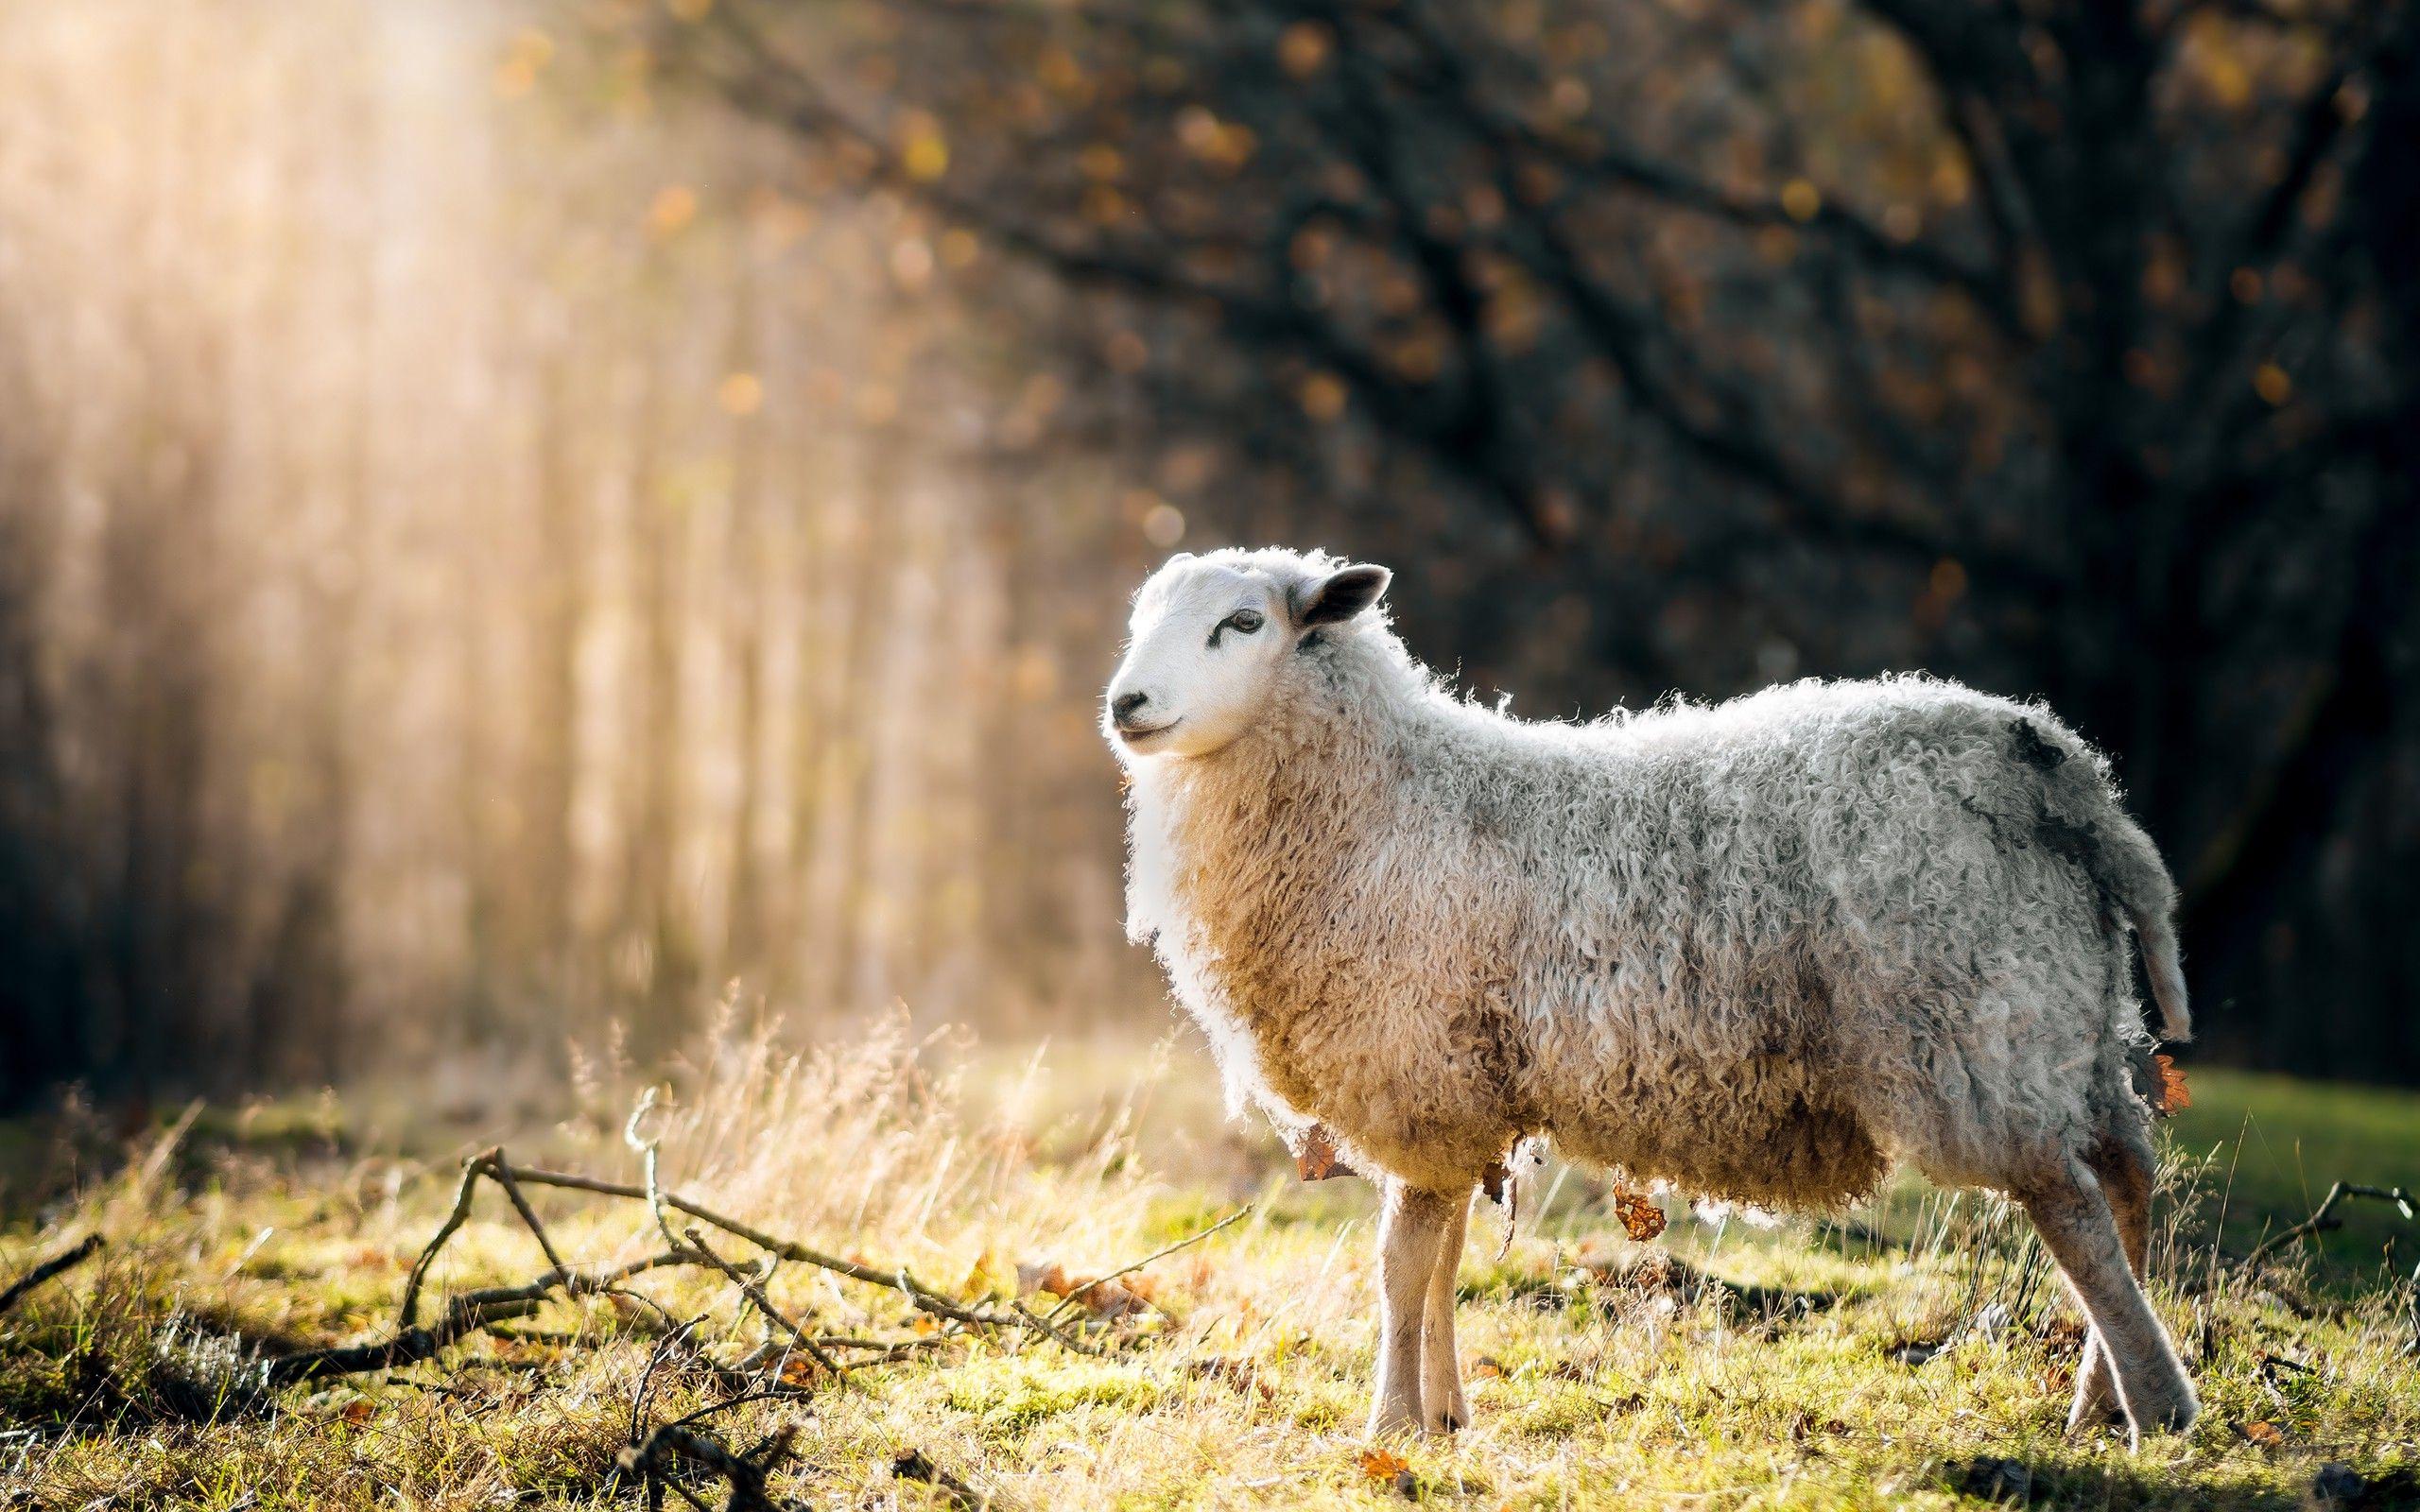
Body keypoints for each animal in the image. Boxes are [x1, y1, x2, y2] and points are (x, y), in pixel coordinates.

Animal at [1102, 545, 2199, 1446]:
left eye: (1243, 622)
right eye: (1141, 614)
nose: (1126, 703)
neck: (1383, 796)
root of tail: (2063, 773)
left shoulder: (1419, 1073)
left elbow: (1401, 1264)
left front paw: (1390, 1423)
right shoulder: (1462, 1094)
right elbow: (1444, 1256)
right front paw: (1445, 1414)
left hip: (1971, 1022)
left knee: (2071, 1206)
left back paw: (2156, 1406)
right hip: (2058, 1011)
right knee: (2127, 1177)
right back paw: (2100, 1404)